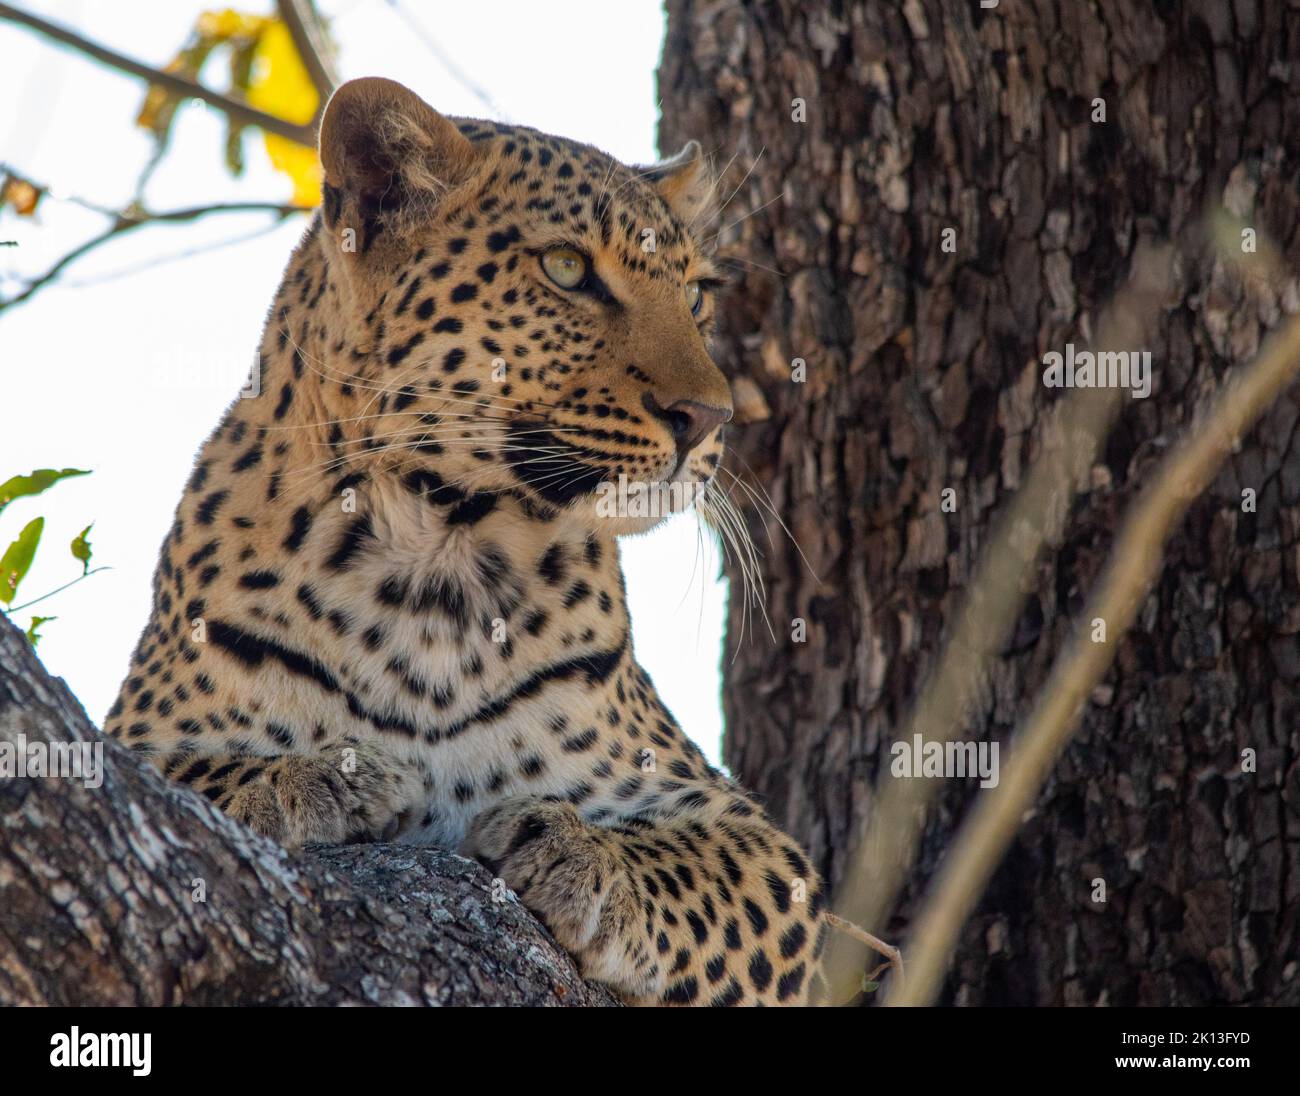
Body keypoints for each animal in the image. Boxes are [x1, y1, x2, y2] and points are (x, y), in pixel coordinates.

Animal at [104, 77, 828, 1006]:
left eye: (696, 294)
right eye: (567, 269)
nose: (709, 417)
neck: (440, 558)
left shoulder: (754, 841)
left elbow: (707, 873)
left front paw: (574, 850)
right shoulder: (131, 739)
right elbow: (188, 770)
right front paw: (322, 778)